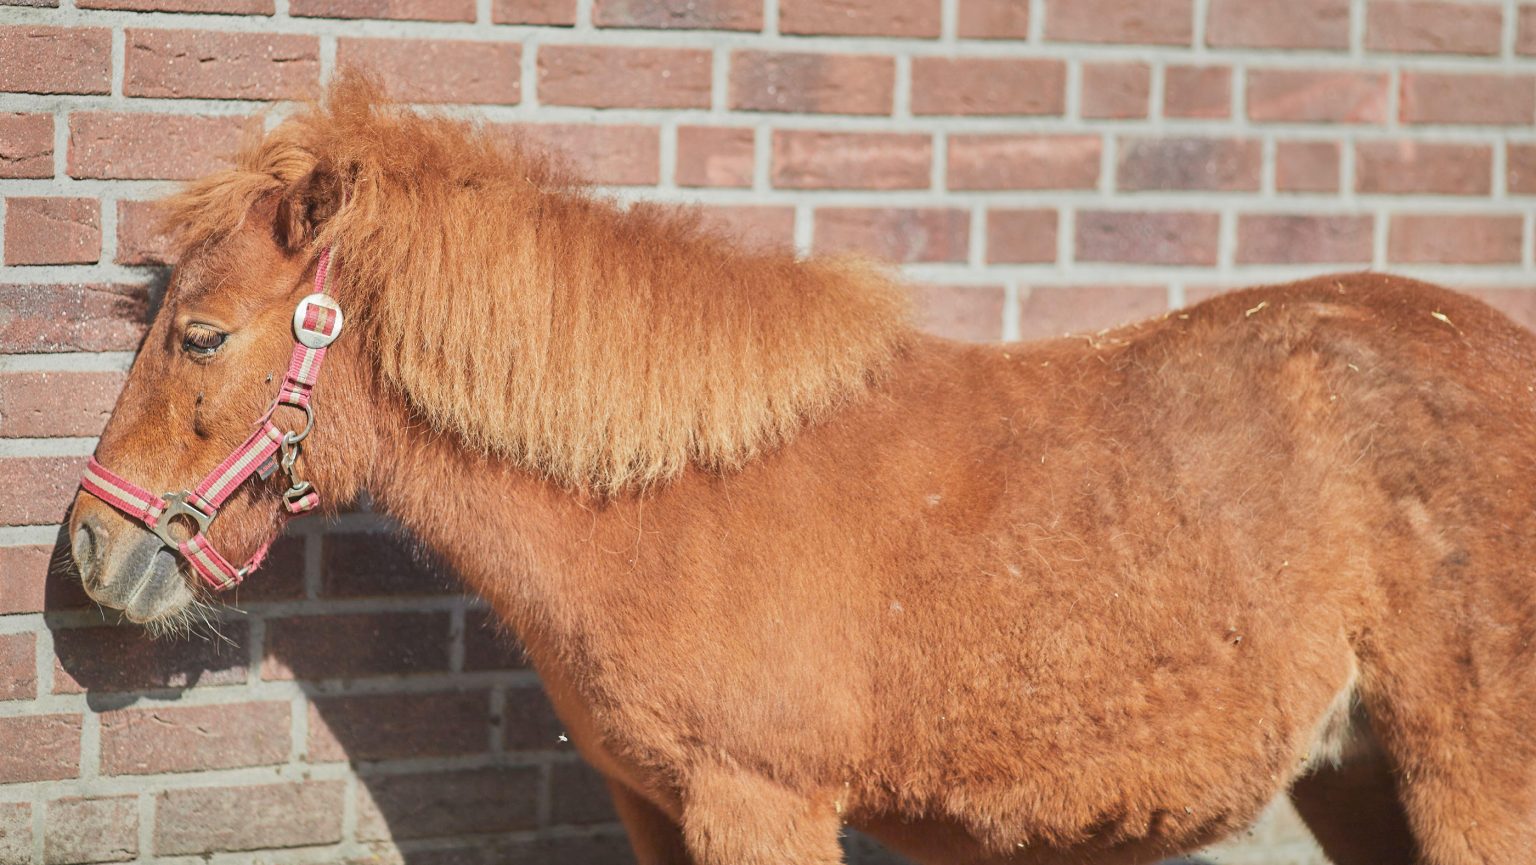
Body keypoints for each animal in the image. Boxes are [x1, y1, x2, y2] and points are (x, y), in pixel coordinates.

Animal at [66, 73, 1536, 865]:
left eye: (202, 334)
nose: (89, 544)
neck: (666, 503)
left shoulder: (756, 801)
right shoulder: (653, 802)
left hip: (1471, 777)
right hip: (1361, 776)